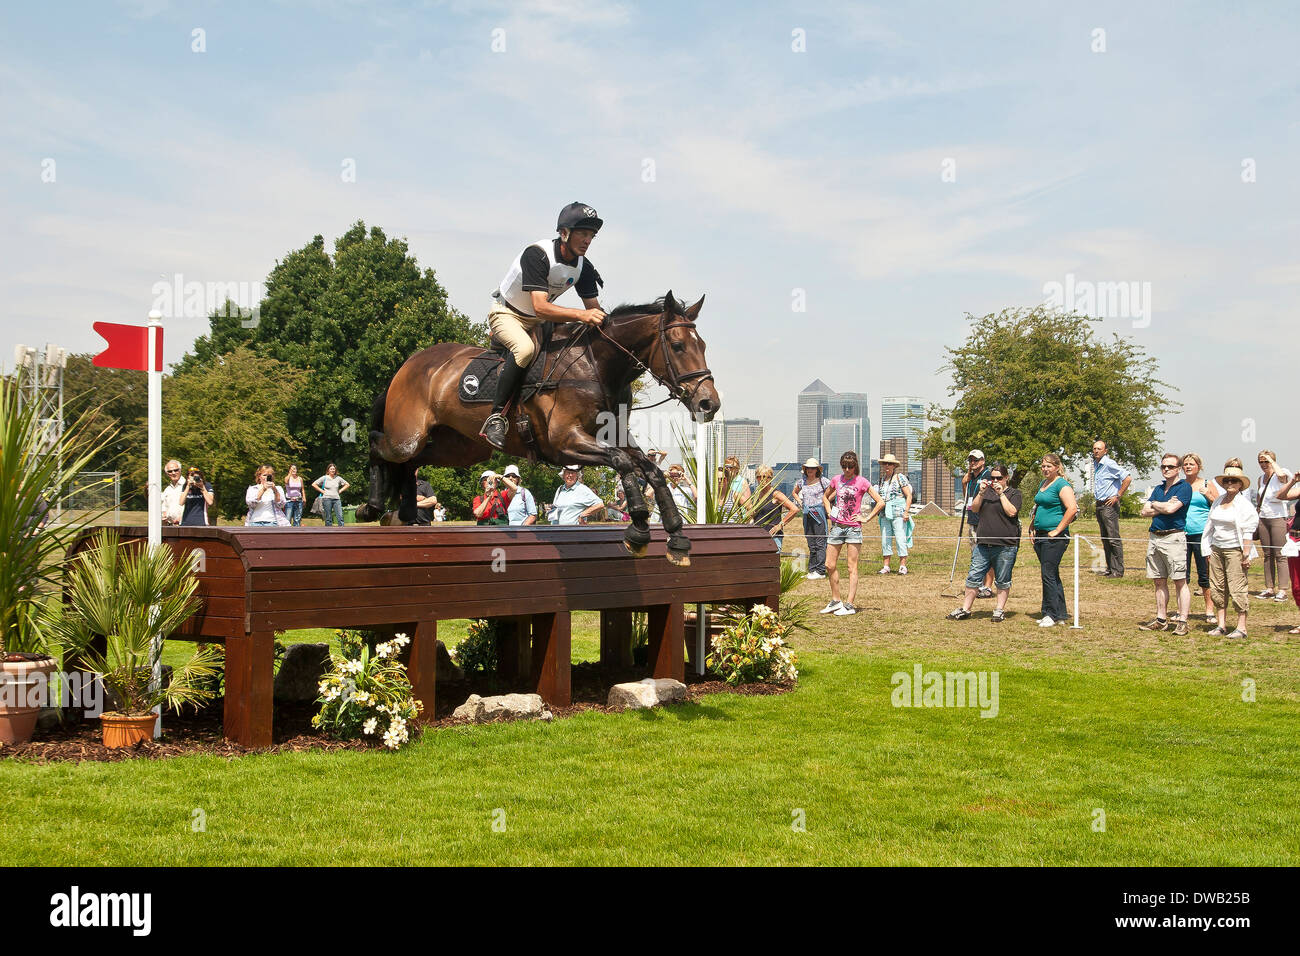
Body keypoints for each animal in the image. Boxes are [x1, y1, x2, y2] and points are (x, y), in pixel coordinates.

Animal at [354, 291, 719, 566]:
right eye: (678, 347)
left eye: (703, 346)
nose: (708, 403)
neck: (596, 366)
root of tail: (408, 364)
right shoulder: (564, 443)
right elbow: (623, 461)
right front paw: (640, 528)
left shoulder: (612, 436)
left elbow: (651, 470)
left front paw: (676, 536)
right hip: (407, 435)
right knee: (378, 445)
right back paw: (371, 507)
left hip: (459, 448)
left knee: (412, 464)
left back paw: (405, 513)